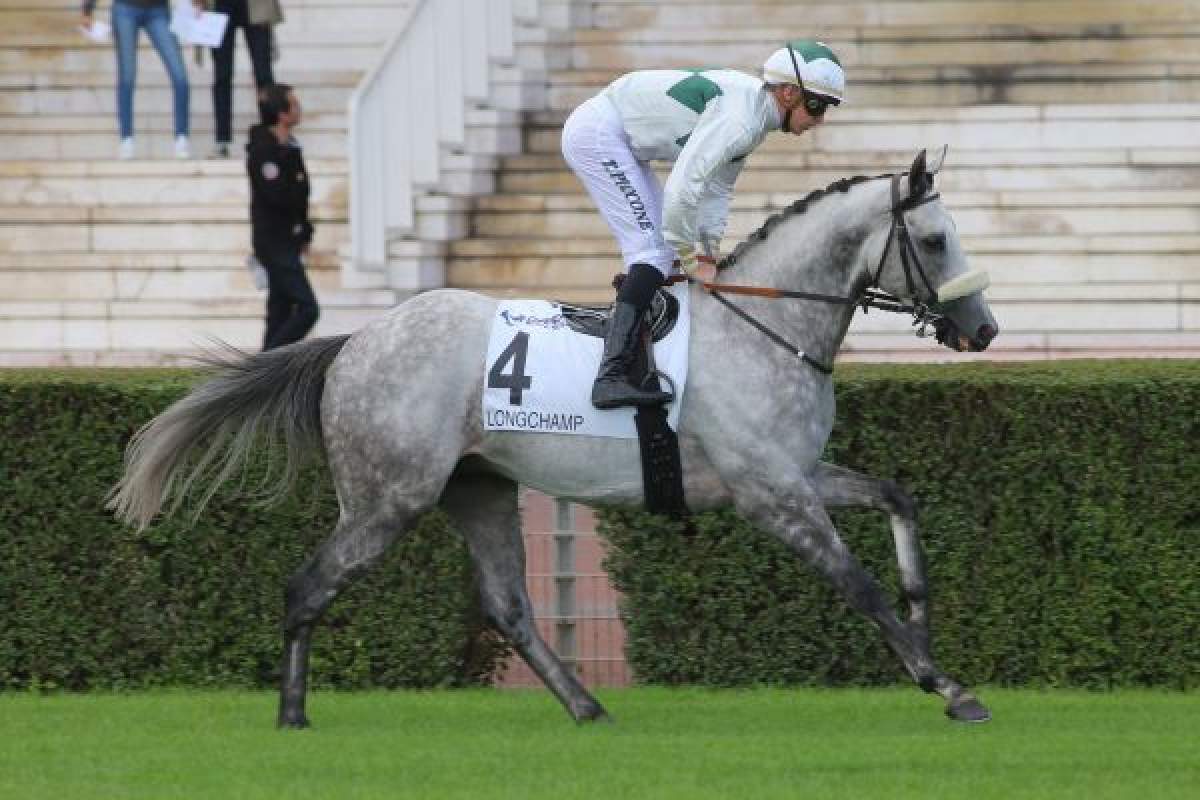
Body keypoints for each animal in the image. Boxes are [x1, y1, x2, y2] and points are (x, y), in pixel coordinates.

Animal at [110, 149, 999, 728]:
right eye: (933, 240)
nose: (984, 328)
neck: (767, 328)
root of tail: (356, 341)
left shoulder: (797, 472)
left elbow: (898, 500)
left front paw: (925, 622)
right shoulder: (770, 494)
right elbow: (859, 586)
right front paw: (946, 686)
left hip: (477, 487)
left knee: (509, 605)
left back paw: (587, 705)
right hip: (387, 498)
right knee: (307, 586)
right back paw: (292, 716)